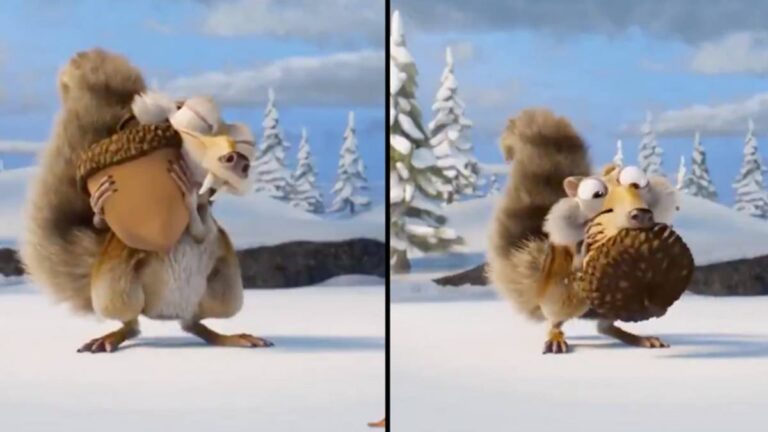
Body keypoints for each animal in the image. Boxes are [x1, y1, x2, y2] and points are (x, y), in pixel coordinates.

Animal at [20, 48, 272, 353]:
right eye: (190, 115)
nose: (241, 162)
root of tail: (163, 313)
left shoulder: (206, 216)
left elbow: (200, 228)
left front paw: (190, 196)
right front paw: (99, 206)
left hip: (226, 290)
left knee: (194, 323)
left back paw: (229, 337)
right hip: (116, 285)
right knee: (132, 323)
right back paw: (110, 338)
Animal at [486, 108, 679, 354]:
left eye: (637, 184)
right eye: (596, 194)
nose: (641, 214)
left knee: (606, 326)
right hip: (557, 292)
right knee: (558, 315)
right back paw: (556, 334)